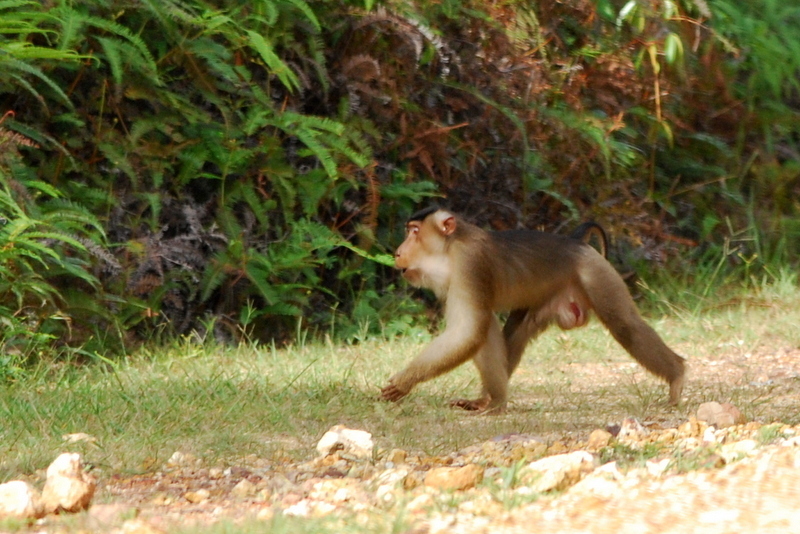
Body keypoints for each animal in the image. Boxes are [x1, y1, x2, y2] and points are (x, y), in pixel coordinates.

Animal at [381, 206, 686, 413]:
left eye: (415, 232)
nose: (398, 252)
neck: (450, 247)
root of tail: (576, 241)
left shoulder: (470, 264)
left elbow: (469, 329)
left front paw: (406, 381)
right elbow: (481, 330)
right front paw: (491, 402)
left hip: (595, 272)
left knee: (625, 325)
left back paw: (677, 375)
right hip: (552, 297)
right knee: (518, 330)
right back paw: (489, 399)